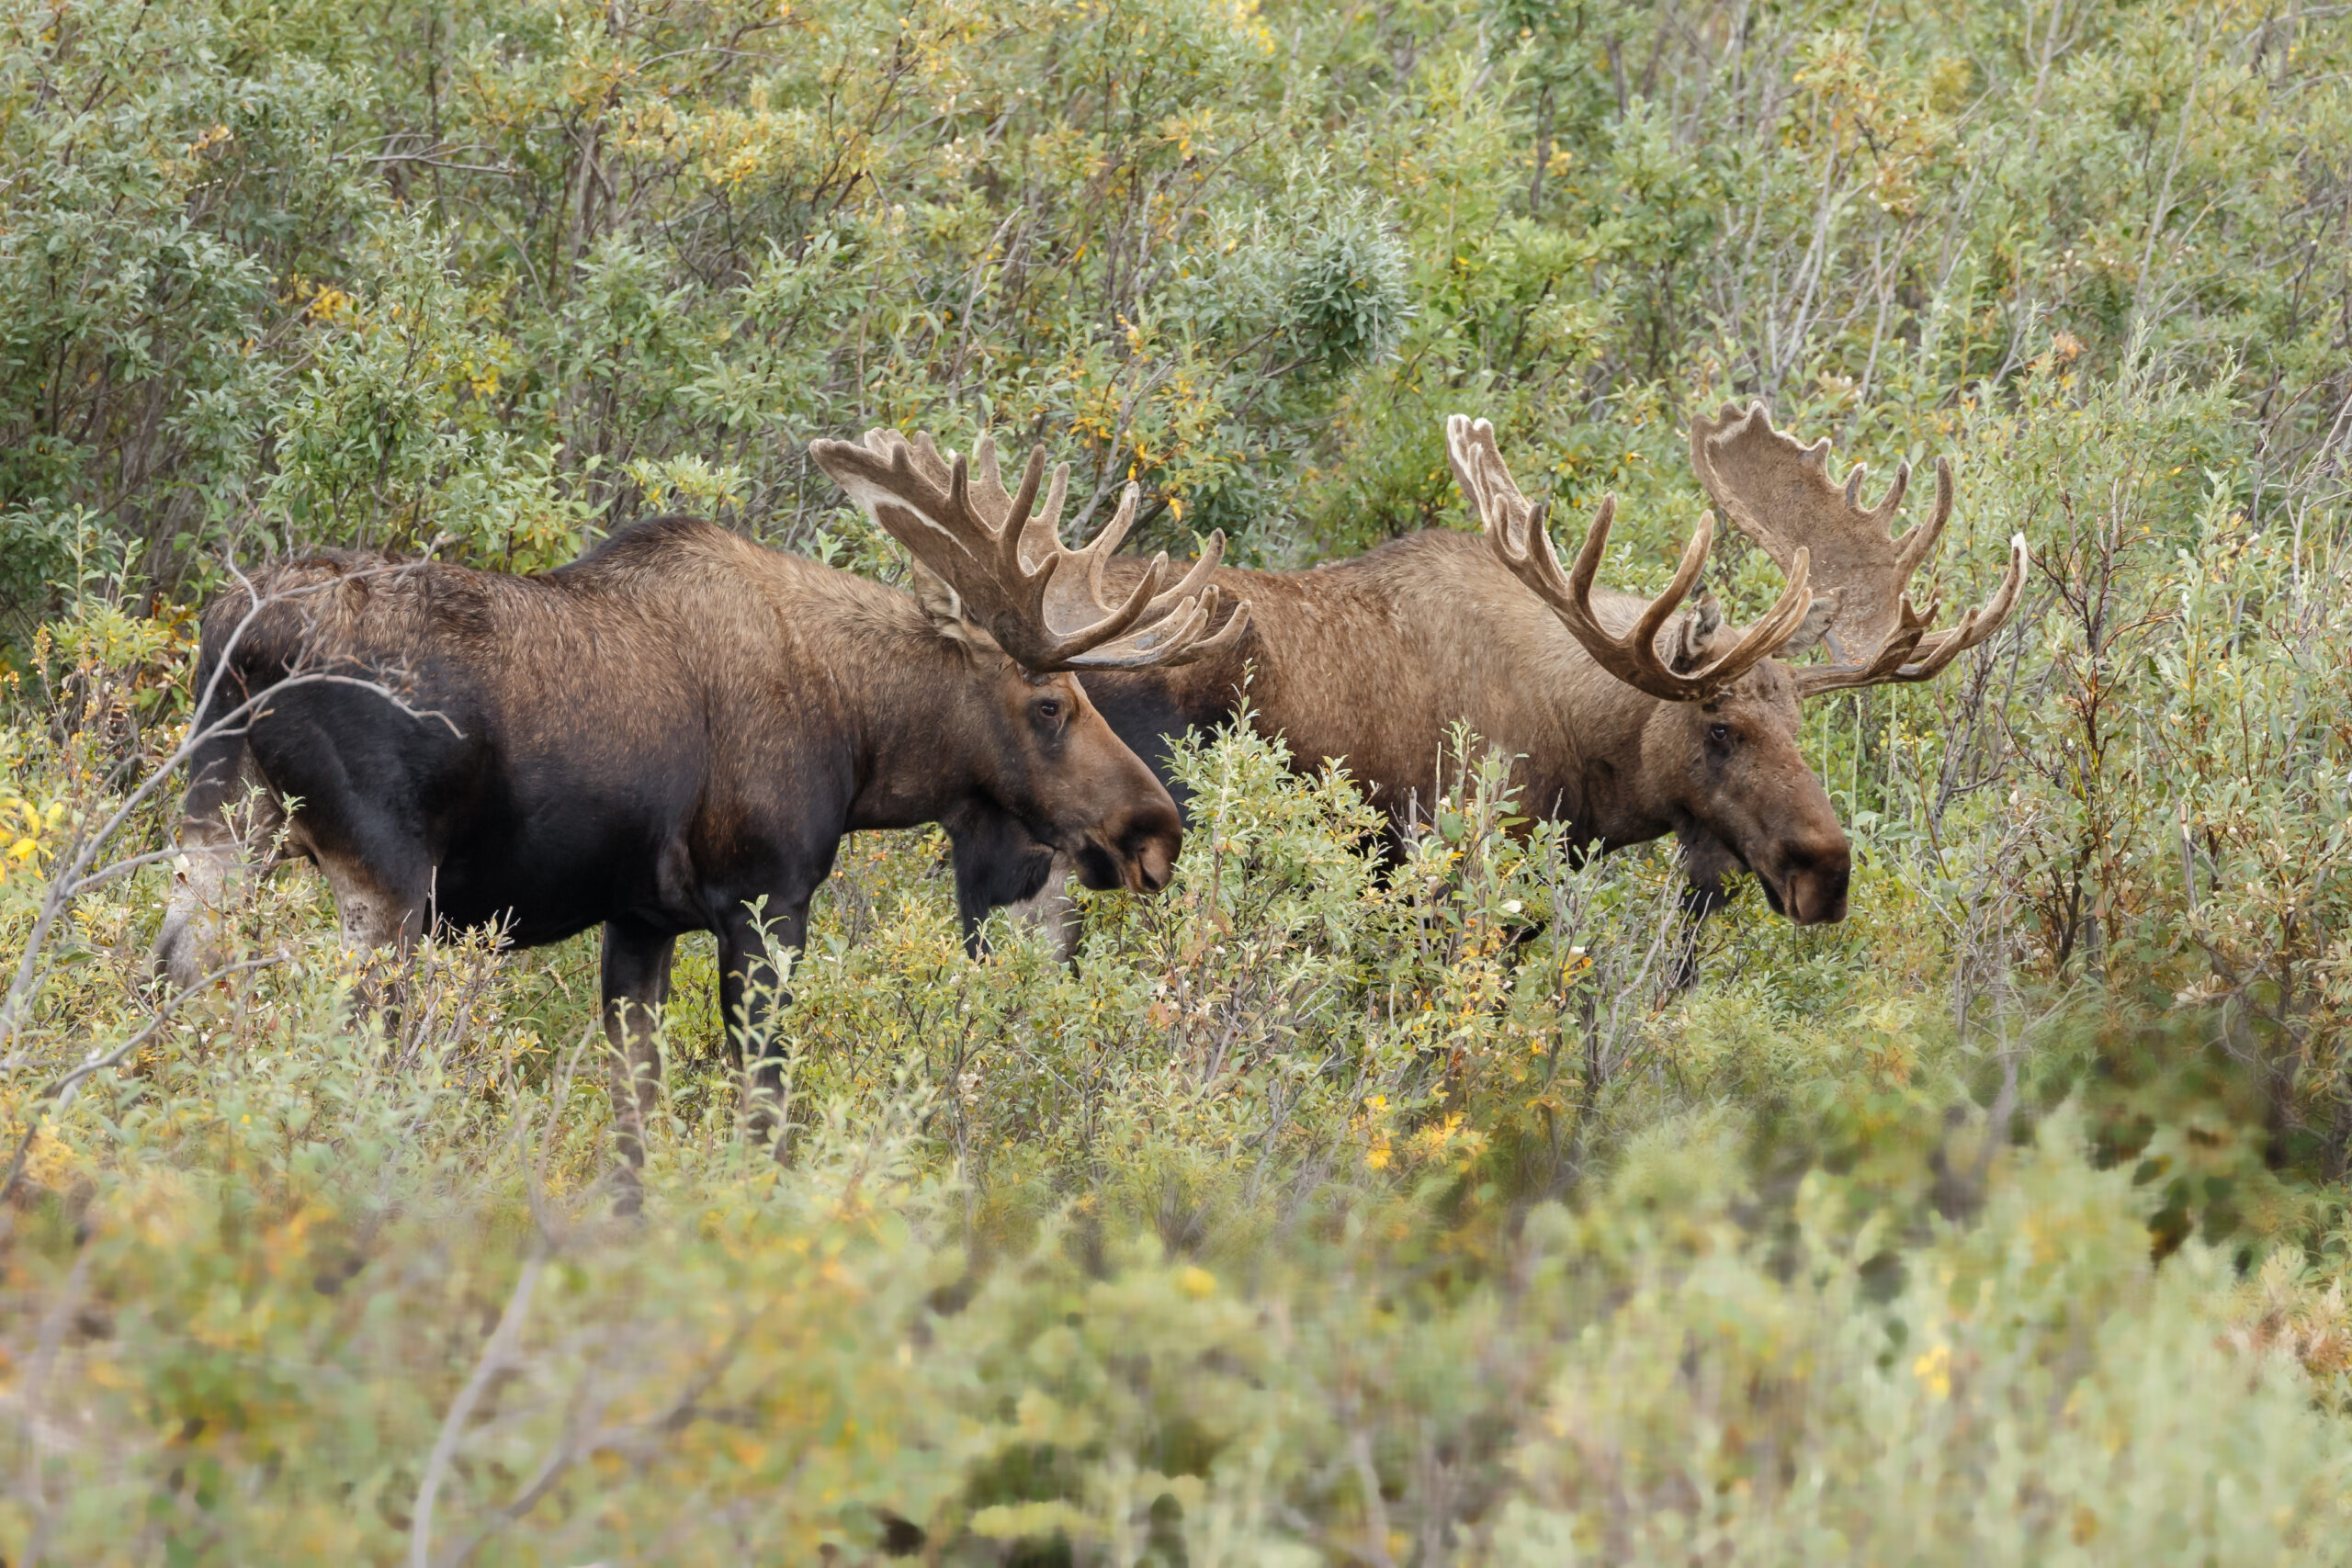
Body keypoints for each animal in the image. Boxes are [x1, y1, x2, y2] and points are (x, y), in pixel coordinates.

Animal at [157, 427, 1247, 1192]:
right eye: (1050, 704)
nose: (1155, 832)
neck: (860, 739)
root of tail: (247, 636)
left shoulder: (640, 920)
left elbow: (636, 1118)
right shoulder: (762, 898)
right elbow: (761, 1107)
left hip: (218, 827)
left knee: (169, 978)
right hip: (385, 884)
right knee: (350, 1042)